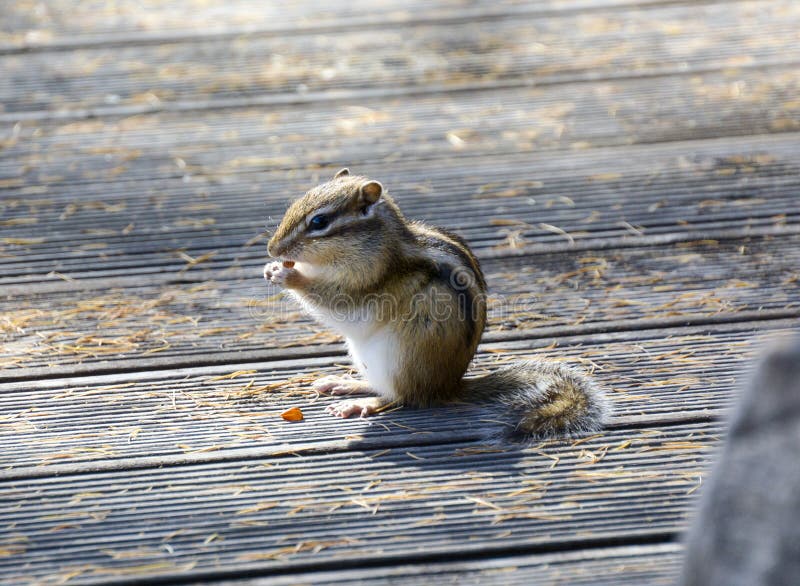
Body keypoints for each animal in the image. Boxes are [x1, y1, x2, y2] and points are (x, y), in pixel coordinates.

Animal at [264, 169, 609, 441]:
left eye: (319, 221)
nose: (272, 249)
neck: (379, 244)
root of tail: (447, 386)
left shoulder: (368, 286)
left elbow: (336, 303)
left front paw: (287, 275)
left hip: (397, 361)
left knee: (403, 397)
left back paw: (362, 403)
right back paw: (347, 384)